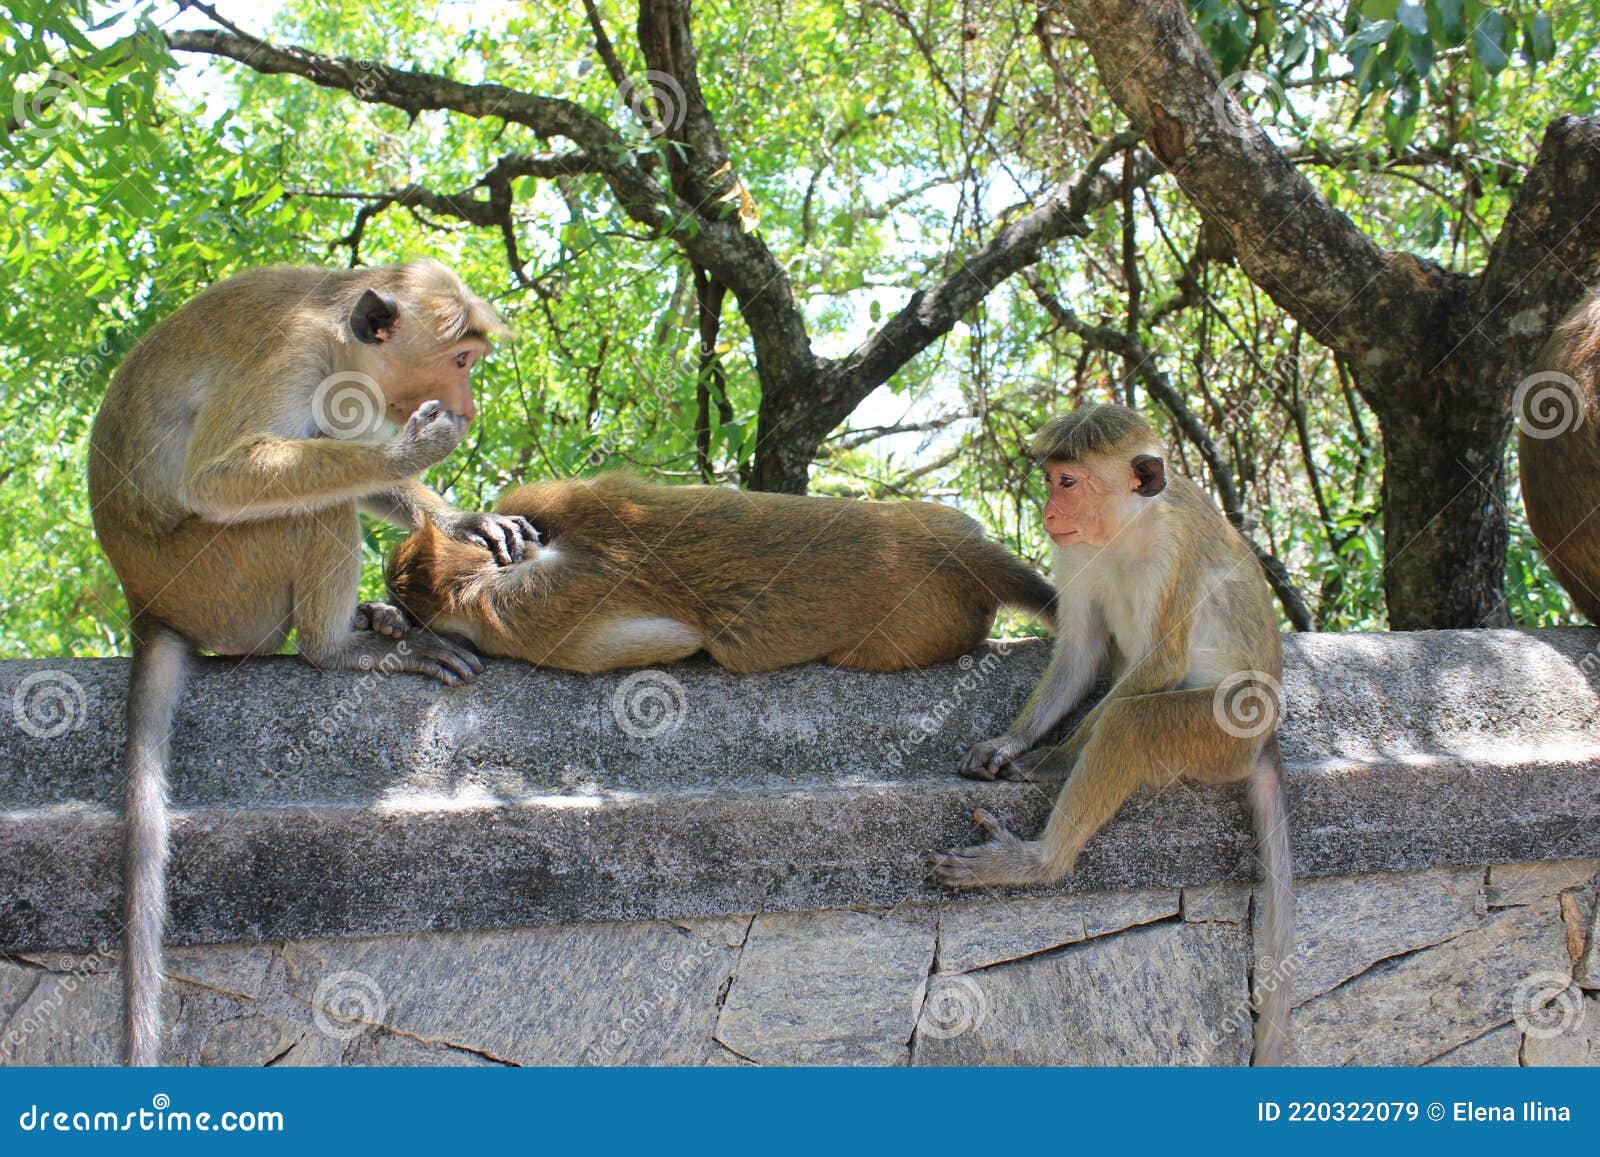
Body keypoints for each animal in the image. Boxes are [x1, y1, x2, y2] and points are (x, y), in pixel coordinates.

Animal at [87, 259, 539, 1065]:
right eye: (461, 360)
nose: (467, 404)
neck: (336, 337)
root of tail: (144, 604)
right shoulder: (290, 356)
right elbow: (217, 477)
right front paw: (407, 452)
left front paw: (462, 519)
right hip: (220, 580)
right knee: (307, 504)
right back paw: (343, 647)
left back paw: (374, 619)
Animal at [925, 403, 1294, 1066]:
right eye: (1050, 480)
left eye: (1068, 482)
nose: (1048, 512)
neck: (1129, 528)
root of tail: (1265, 738)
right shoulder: (1076, 552)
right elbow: (1080, 649)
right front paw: (1011, 744)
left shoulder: (1174, 553)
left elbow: (1160, 664)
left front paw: (1051, 759)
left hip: (1222, 734)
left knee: (1132, 721)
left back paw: (1038, 862)